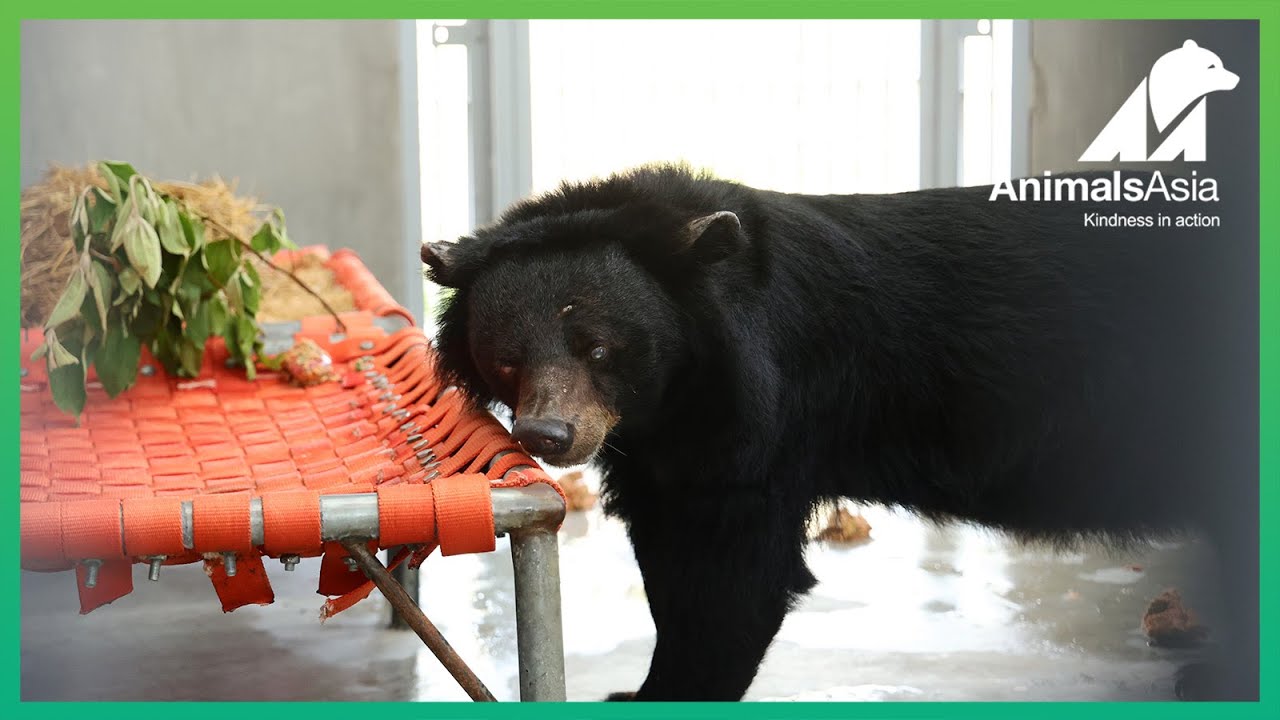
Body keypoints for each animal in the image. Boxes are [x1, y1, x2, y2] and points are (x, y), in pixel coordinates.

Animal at [420, 165, 1258, 701]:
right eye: (506, 358)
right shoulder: (665, 454)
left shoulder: (760, 424)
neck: (678, 393)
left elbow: (732, 583)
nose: (549, 433)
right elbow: (677, 567)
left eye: (599, 348)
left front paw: (657, 691)